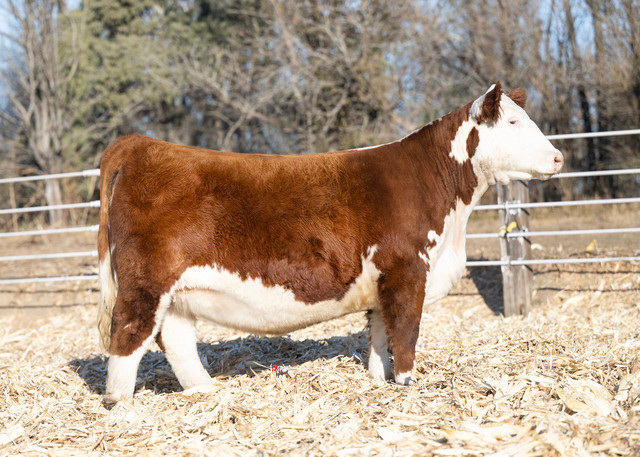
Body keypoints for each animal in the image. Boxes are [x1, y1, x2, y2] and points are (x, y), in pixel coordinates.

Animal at [97, 82, 563, 404]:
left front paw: (377, 381)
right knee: (128, 336)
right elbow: (406, 334)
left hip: (177, 294)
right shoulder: (408, 271)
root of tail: (141, 143)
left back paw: (206, 391)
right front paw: (408, 385)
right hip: (145, 283)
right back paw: (120, 404)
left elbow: (379, 336)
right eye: (513, 122)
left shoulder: (381, 284)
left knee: (175, 340)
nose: (558, 157)